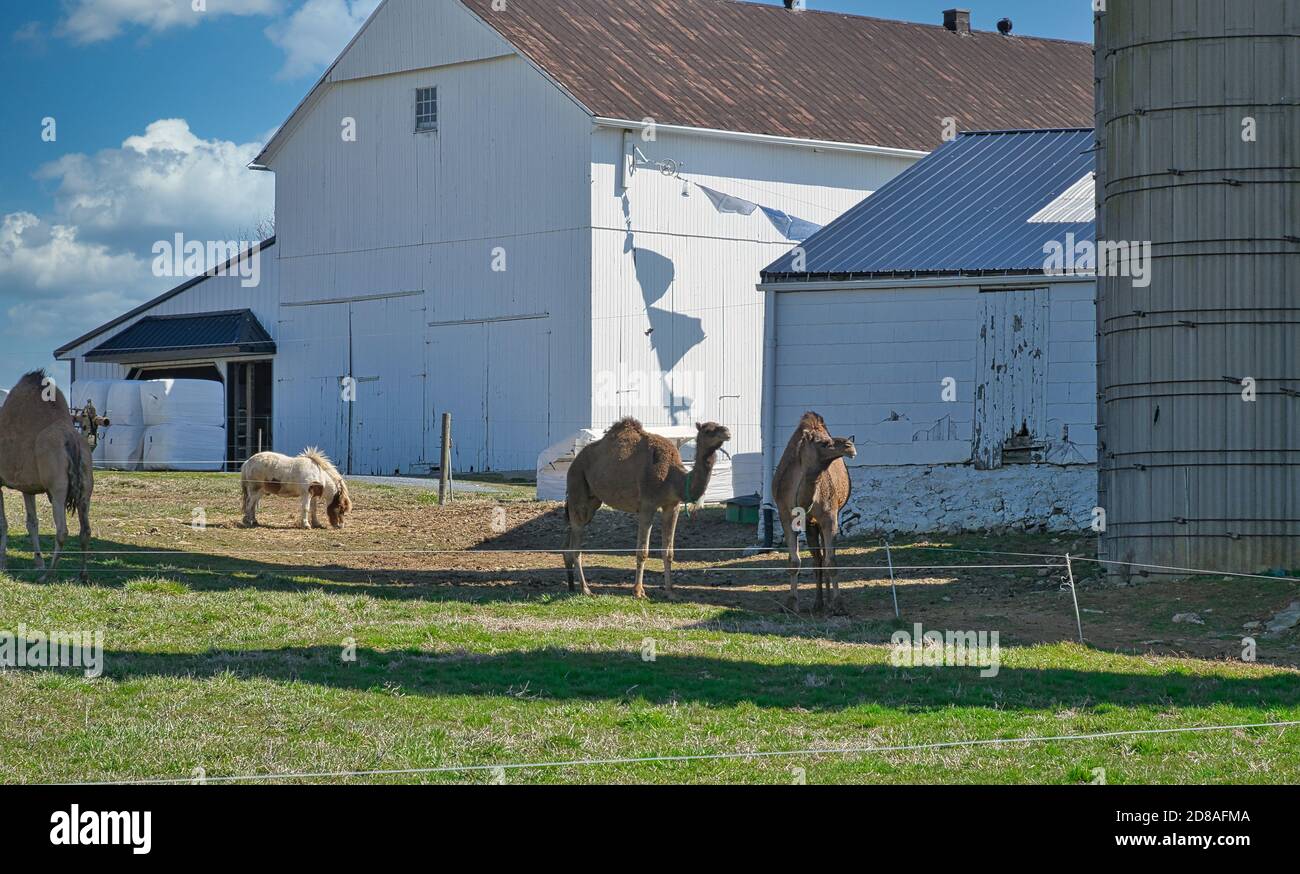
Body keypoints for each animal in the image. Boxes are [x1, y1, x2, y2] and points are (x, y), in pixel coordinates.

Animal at [0, 371, 95, 582]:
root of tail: (72, 440)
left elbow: (3, 523)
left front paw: (3, 564)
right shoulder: (27, 486)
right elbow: (32, 522)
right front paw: (38, 563)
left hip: (57, 488)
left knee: (62, 530)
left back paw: (48, 575)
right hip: (86, 485)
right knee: (85, 529)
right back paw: (83, 574)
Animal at [564, 419, 731, 599]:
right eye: (708, 430)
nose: (727, 432)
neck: (673, 478)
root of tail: (574, 462)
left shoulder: (672, 506)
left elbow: (668, 551)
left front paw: (670, 591)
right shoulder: (647, 505)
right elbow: (642, 551)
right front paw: (638, 591)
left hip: (592, 500)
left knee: (573, 530)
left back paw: (572, 585)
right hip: (577, 485)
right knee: (576, 542)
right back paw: (586, 589)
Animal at [772, 412, 857, 614]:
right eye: (823, 443)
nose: (850, 445)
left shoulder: (829, 517)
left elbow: (831, 562)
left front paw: (838, 604)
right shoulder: (785, 515)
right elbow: (794, 561)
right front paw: (791, 603)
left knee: (824, 558)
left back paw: (827, 601)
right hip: (810, 525)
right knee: (817, 559)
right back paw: (819, 602)